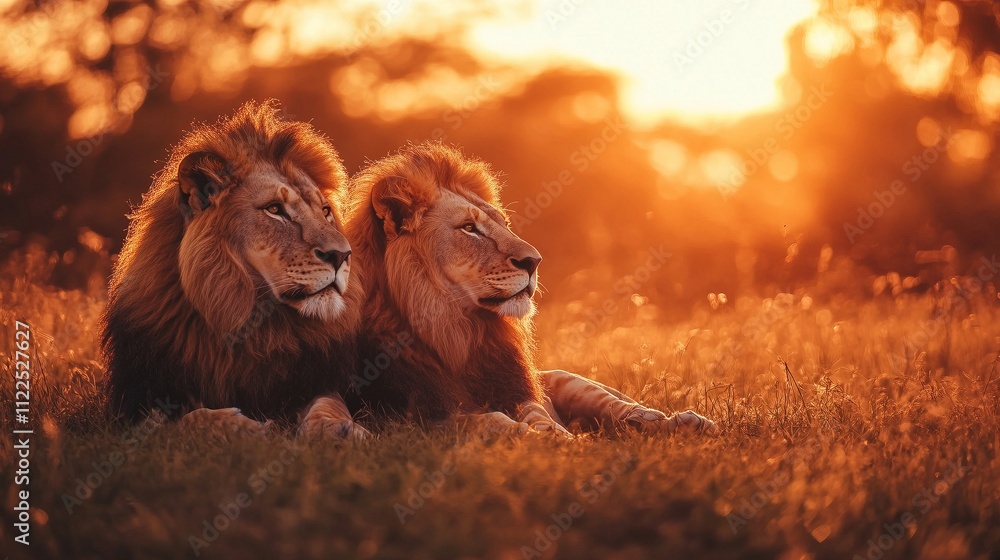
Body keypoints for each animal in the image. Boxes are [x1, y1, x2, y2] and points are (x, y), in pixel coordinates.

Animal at [102, 100, 368, 439]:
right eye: (274, 209)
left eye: (325, 211)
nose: (342, 255)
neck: (243, 317)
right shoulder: (132, 408)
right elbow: (186, 420)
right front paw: (242, 427)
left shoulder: (317, 379)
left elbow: (329, 402)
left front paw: (338, 429)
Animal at [346, 143, 717, 436]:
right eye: (469, 228)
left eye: (504, 223)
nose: (534, 261)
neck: (455, 330)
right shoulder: (405, 416)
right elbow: (484, 420)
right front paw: (536, 437)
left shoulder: (515, 387)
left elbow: (535, 410)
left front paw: (554, 433)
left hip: (569, 380)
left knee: (621, 408)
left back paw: (681, 421)